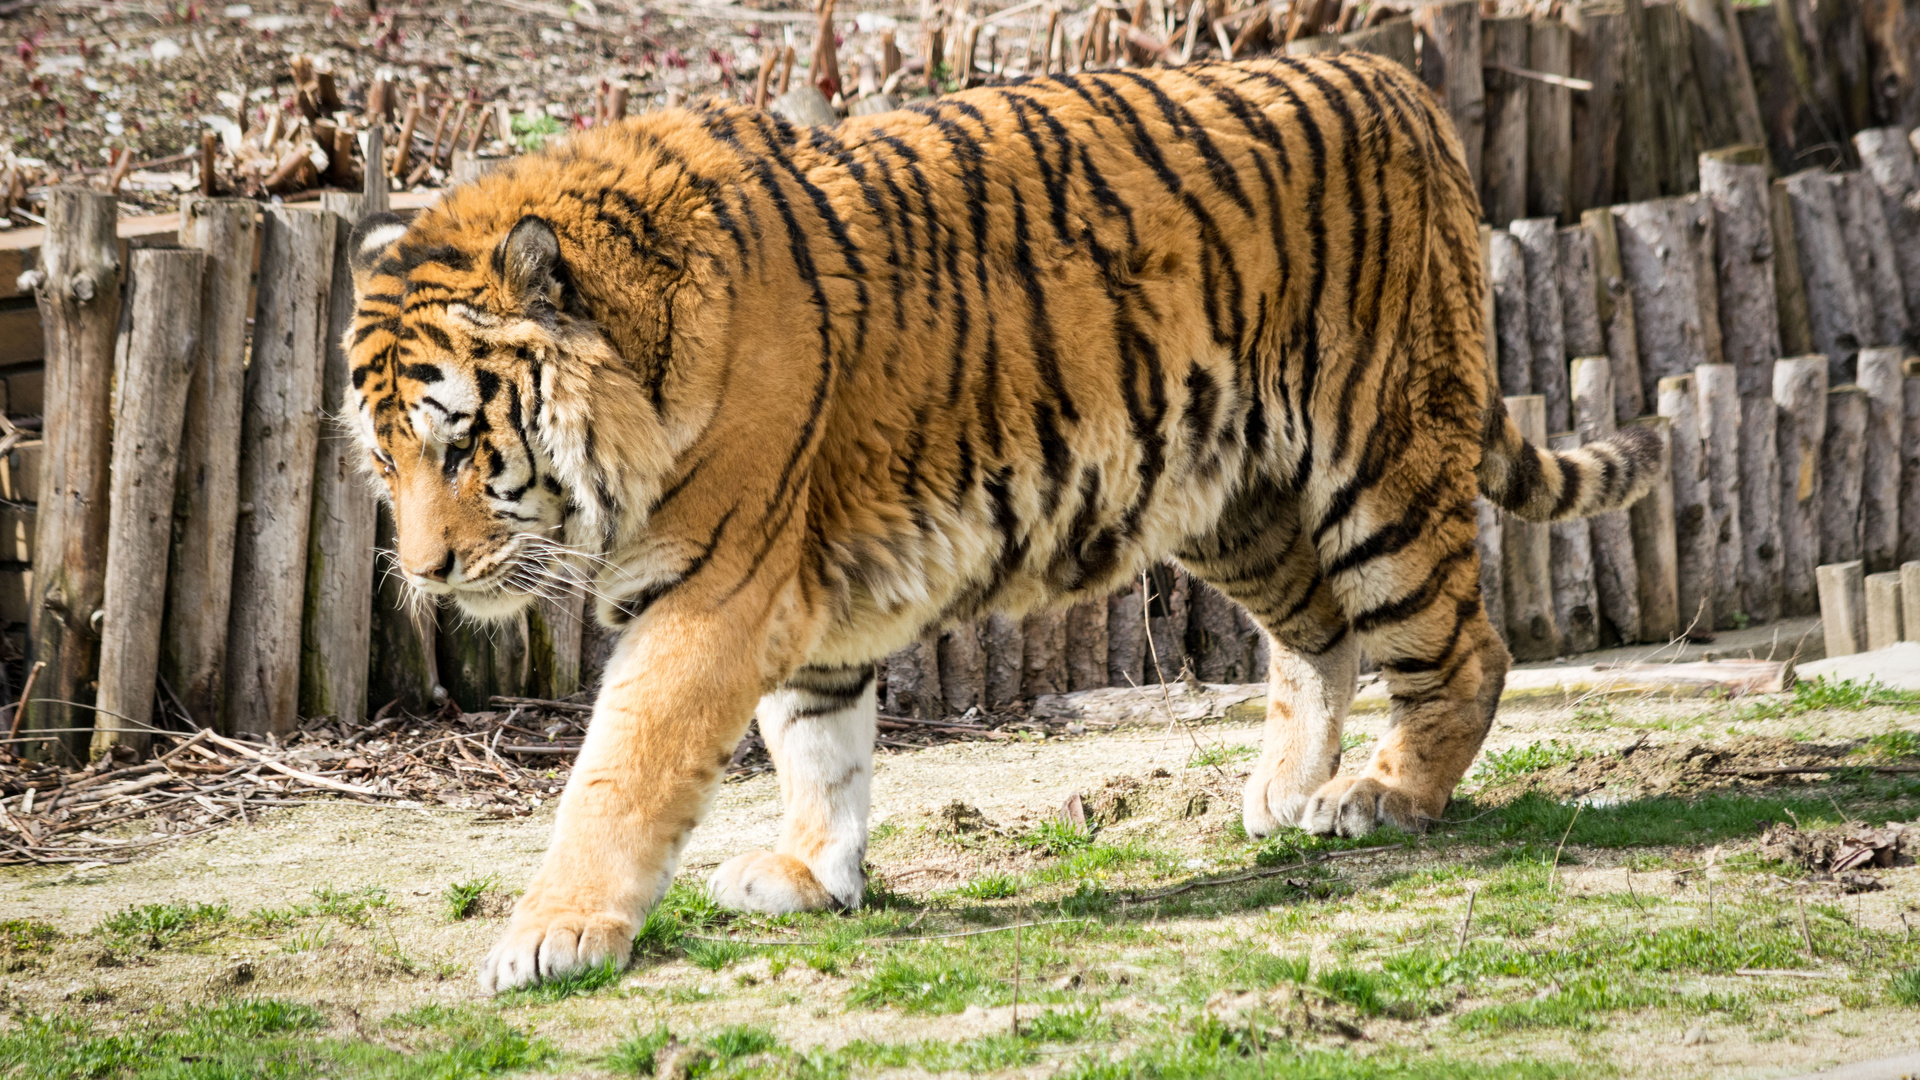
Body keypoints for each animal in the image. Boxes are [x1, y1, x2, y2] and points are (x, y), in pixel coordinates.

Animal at [341, 51, 1661, 993]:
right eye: (385, 454)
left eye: (460, 442)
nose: (428, 572)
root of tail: (1406, 85)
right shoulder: (795, 600)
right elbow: (819, 744)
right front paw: (814, 875)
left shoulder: (715, 593)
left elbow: (622, 773)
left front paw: (553, 937)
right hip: (1230, 498)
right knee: (1321, 638)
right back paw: (1287, 793)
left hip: (1378, 457)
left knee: (1463, 648)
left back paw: (1381, 798)